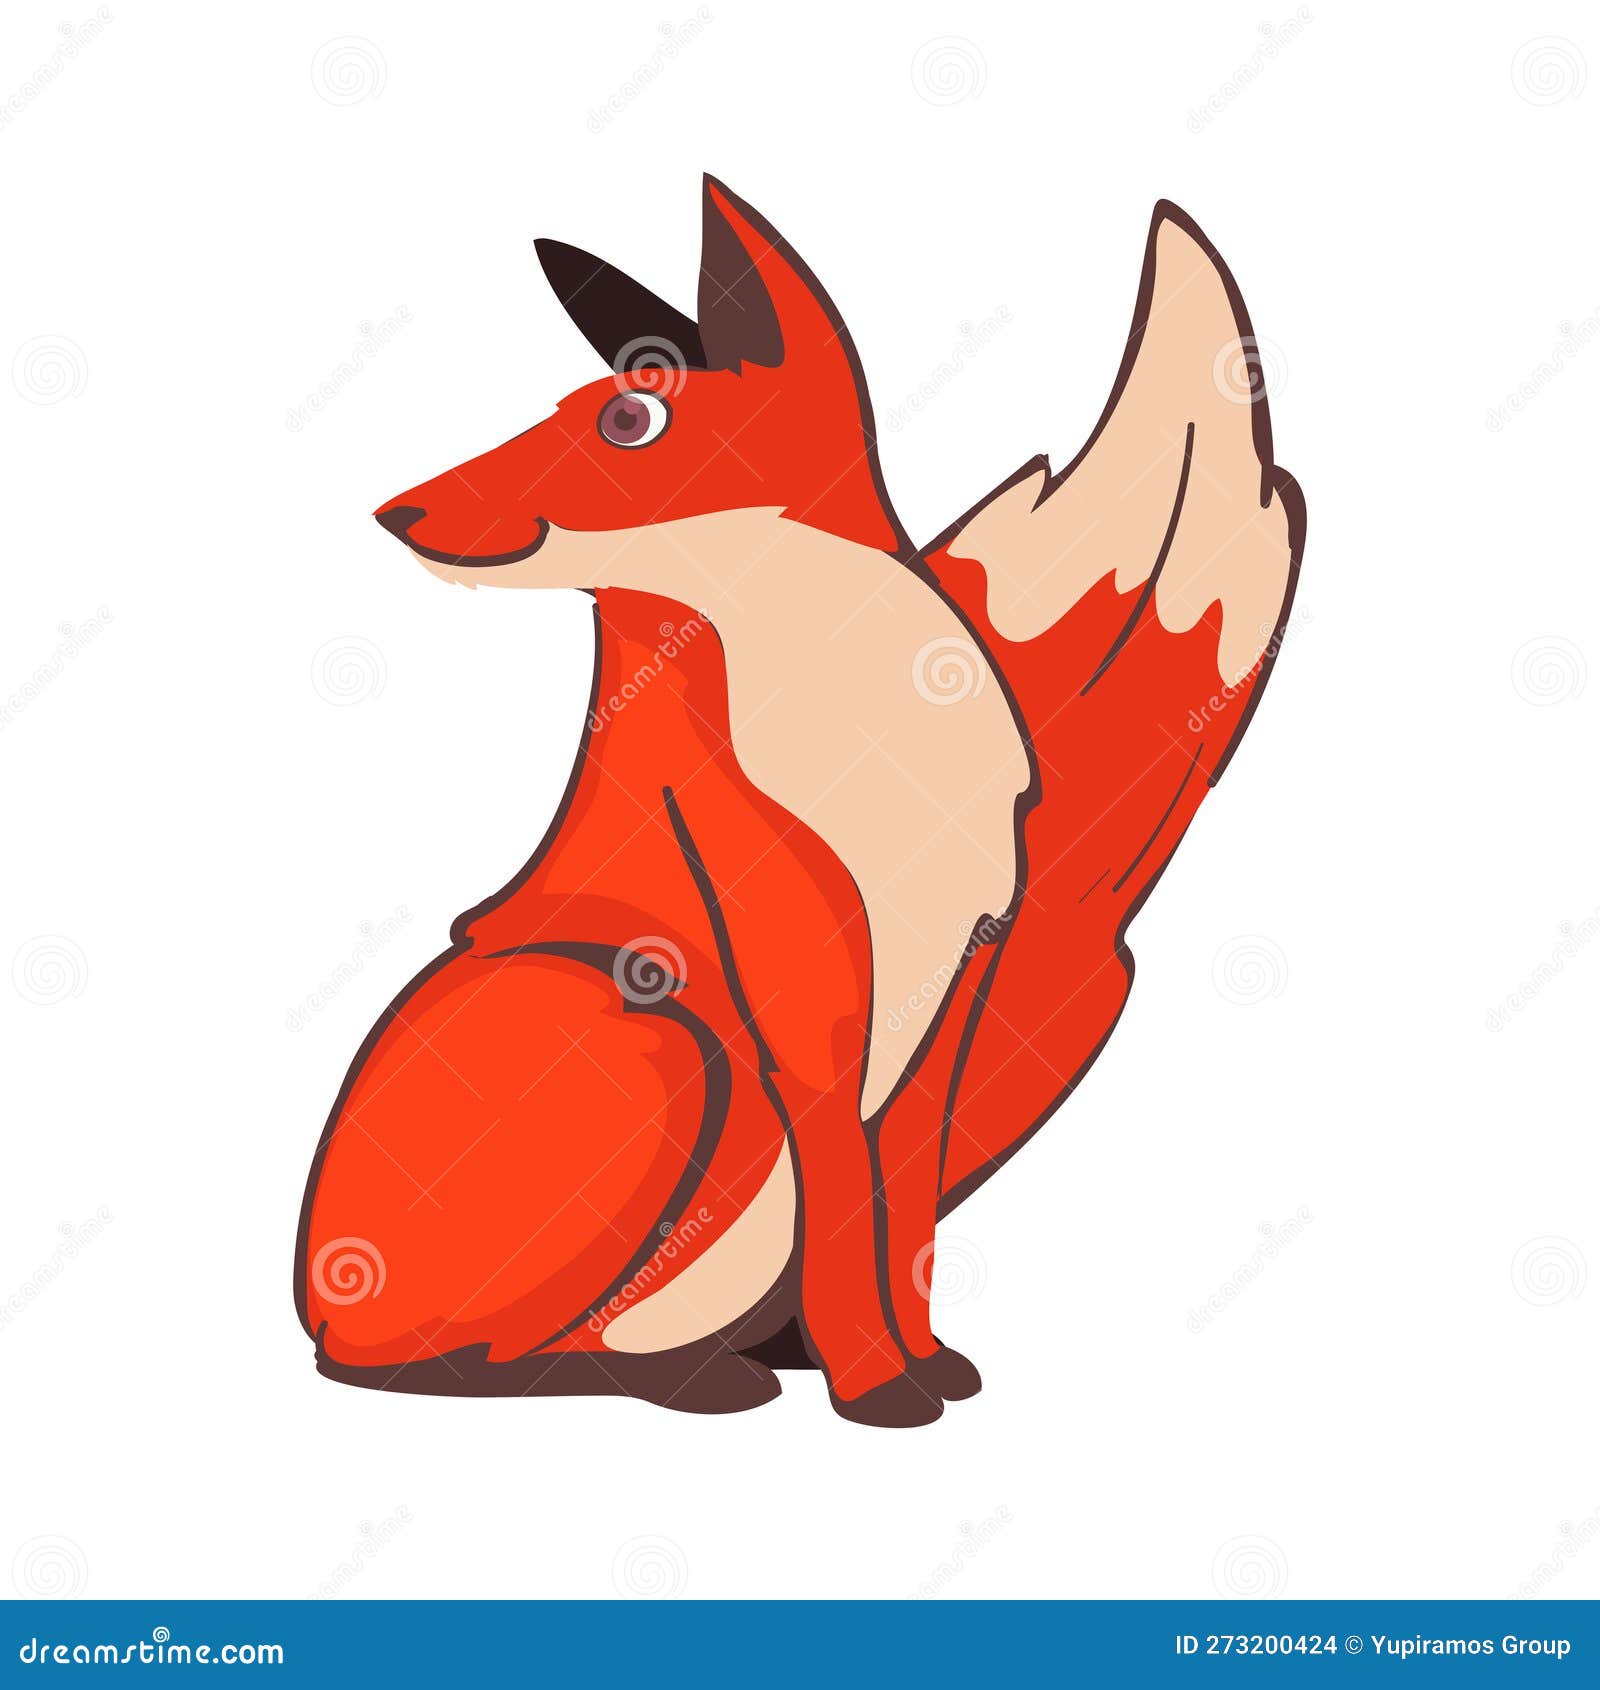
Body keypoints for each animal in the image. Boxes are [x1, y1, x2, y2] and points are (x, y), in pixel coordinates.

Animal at [294, 176, 1304, 1427]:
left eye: (627, 420)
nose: (401, 511)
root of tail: (314, 1301)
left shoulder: (958, 980)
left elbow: (901, 1214)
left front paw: (917, 1361)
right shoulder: (807, 993)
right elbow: (843, 1207)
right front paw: (877, 1386)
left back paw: (738, 1361)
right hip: (650, 1028)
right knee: (433, 1362)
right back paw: (679, 1377)